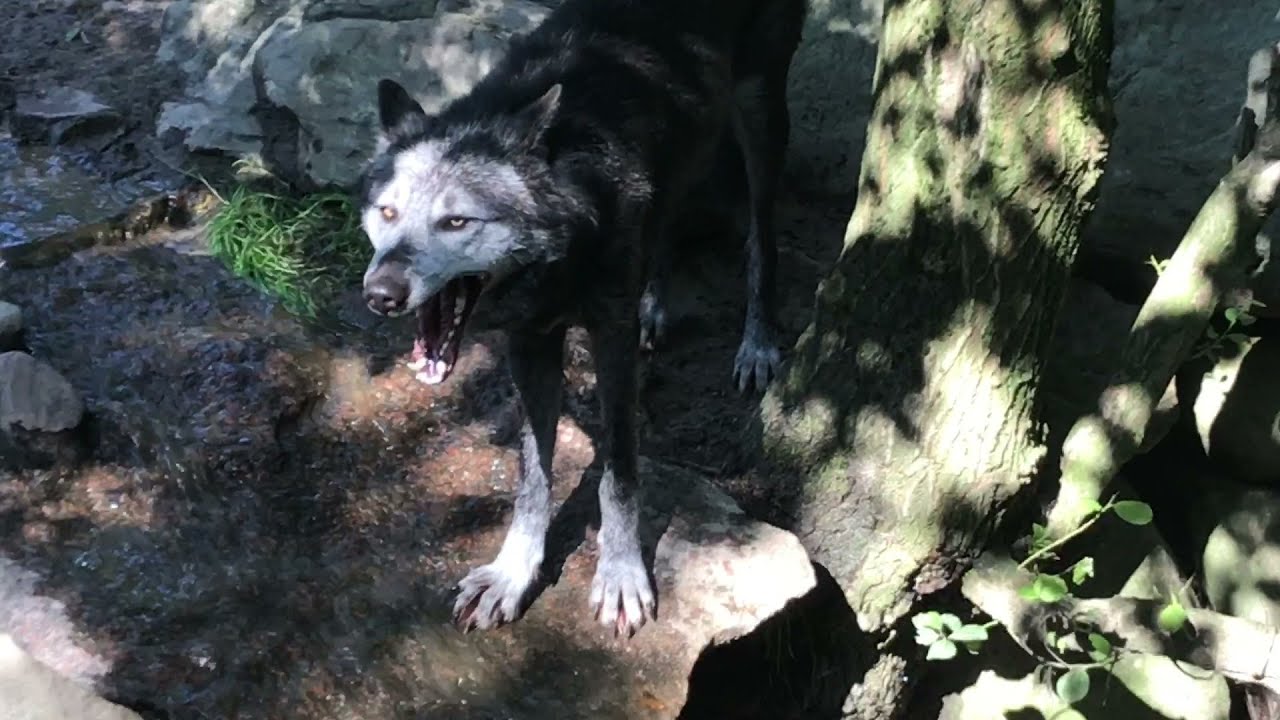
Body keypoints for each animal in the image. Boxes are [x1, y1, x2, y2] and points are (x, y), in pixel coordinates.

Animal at [358, 0, 807, 637]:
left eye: (456, 222)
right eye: (388, 212)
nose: (382, 293)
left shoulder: (608, 342)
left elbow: (619, 471)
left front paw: (620, 577)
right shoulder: (529, 344)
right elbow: (532, 475)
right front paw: (512, 574)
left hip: (761, 114)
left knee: (762, 238)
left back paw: (757, 343)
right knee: (670, 219)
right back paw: (655, 306)